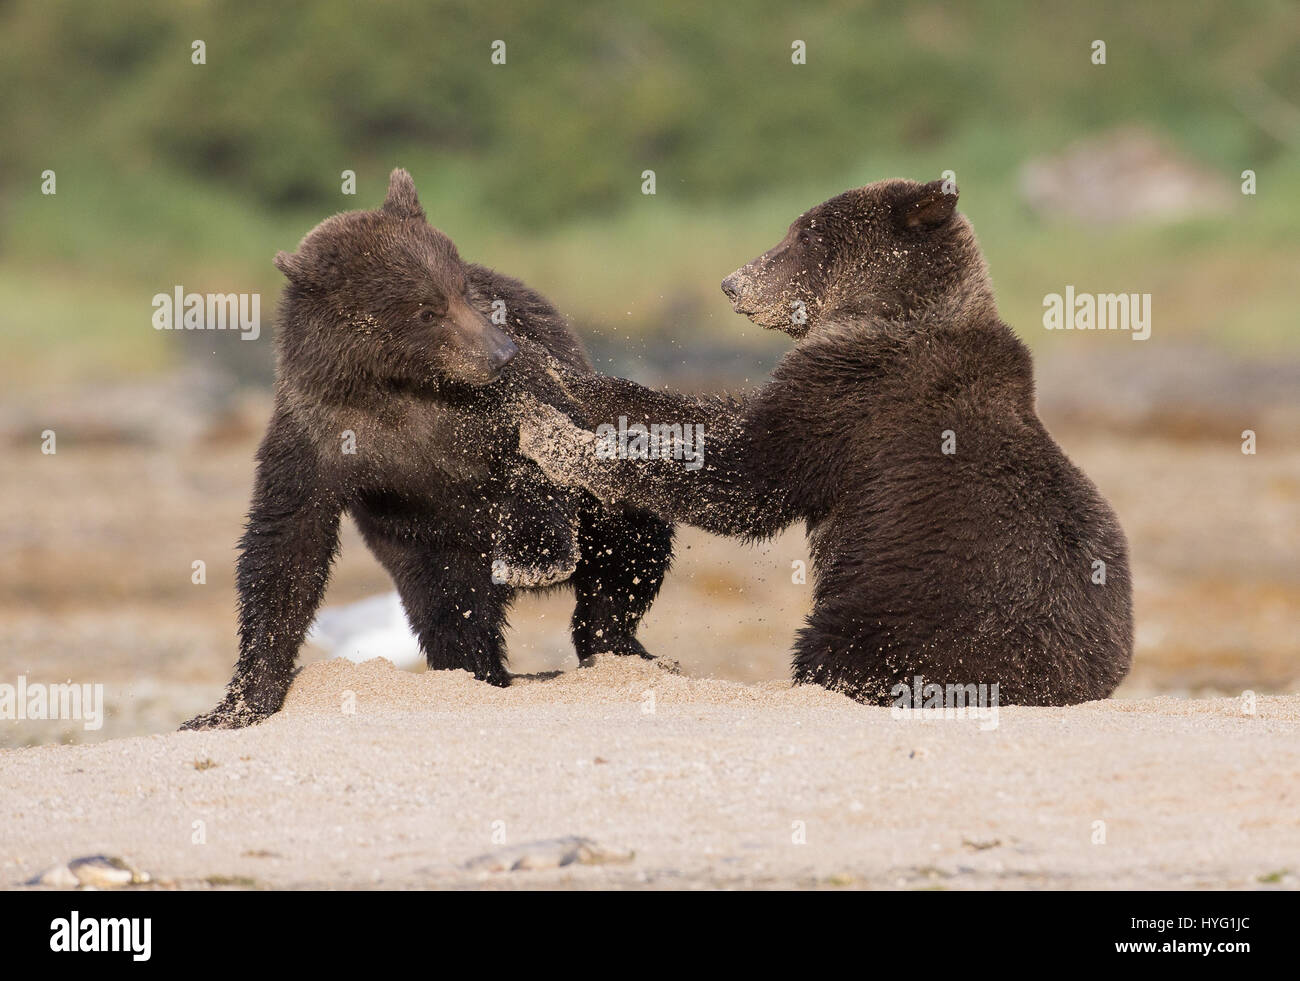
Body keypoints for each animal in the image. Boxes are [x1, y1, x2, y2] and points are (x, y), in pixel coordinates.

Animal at [182, 169, 673, 730]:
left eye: (462, 289)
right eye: (426, 310)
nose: (499, 352)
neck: (399, 385)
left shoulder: (503, 401)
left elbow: (544, 455)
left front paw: (535, 554)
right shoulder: (318, 433)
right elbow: (286, 547)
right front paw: (237, 704)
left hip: (596, 507)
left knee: (629, 547)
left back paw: (617, 645)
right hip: (436, 550)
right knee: (452, 612)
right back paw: (479, 672)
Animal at [518, 178, 1133, 706]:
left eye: (806, 234)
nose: (734, 283)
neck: (886, 316)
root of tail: (1088, 683)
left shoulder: (851, 401)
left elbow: (744, 480)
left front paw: (548, 431)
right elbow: (709, 417)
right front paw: (556, 372)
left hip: (918, 612)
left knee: (841, 646)